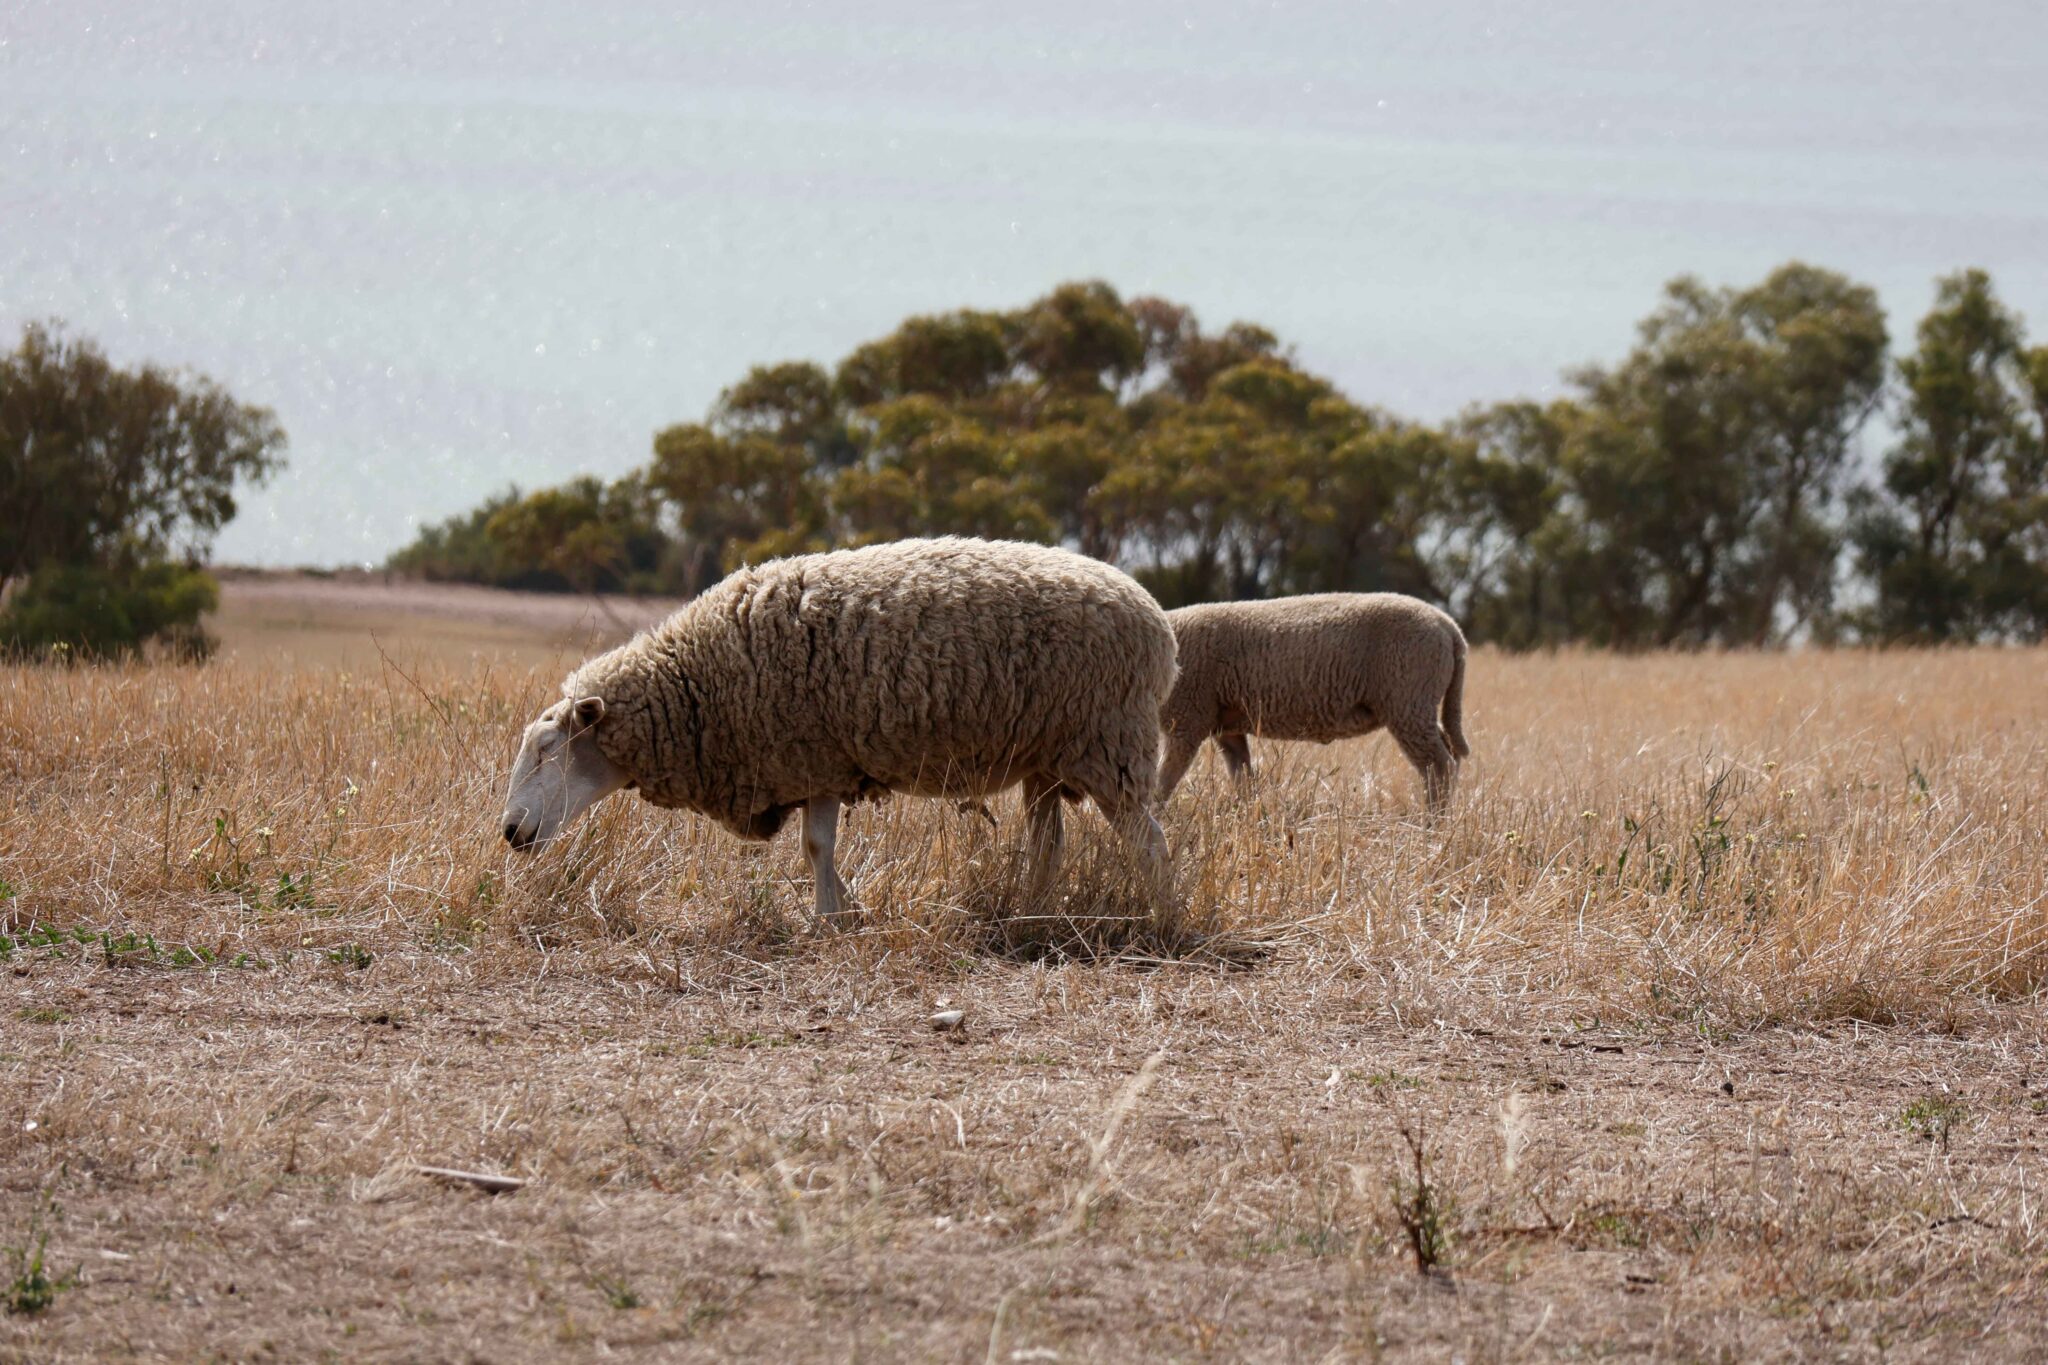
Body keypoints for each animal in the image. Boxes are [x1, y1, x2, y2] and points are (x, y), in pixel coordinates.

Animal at [499, 536, 1179, 923]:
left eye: (546, 750)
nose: (509, 831)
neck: (693, 683)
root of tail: (1159, 628)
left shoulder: (813, 757)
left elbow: (815, 846)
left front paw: (826, 920)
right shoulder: (815, 764)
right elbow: (819, 847)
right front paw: (845, 910)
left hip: (1108, 742)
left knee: (1148, 842)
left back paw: (1163, 917)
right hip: (1047, 754)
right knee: (1048, 844)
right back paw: (1032, 913)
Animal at [1157, 593, 1470, 815]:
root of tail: (1450, 627)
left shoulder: (1188, 721)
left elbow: (1164, 780)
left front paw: (1154, 818)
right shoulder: (1227, 728)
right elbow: (1243, 778)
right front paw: (1248, 816)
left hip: (1408, 701)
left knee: (1439, 767)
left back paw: (1433, 824)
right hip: (1419, 706)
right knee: (1450, 755)